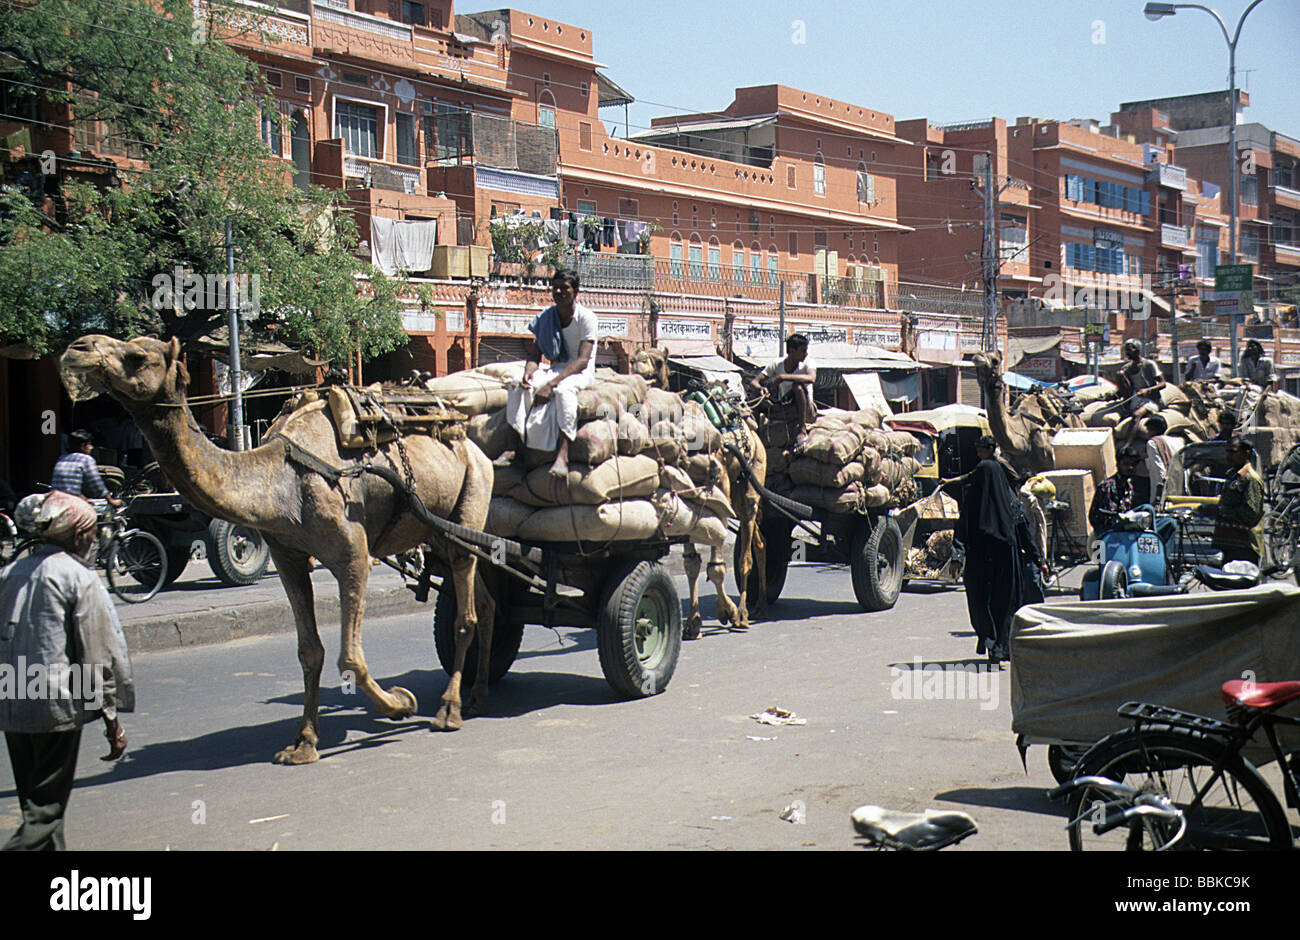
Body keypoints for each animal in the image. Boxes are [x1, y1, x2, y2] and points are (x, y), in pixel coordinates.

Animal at [60, 335, 495, 764]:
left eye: (136, 355)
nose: (76, 348)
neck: (283, 479)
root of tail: (474, 447)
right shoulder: (288, 557)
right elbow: (310, 651)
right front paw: (303, 743)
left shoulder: (353, 555)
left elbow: (349, 656)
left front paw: (399, 704)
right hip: (439, 533)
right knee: (485, 602)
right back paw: (477, 695)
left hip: (472, 500)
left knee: (465, 615)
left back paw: (449, 710)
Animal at [631, 347, 767, 636]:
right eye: (635, 357)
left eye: (657, 361)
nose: (638, 367)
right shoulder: (688, 499)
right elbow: (691, 564)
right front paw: (693, 622)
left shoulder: (720, 485)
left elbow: (716, 567)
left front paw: (727, 611)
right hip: (738, 493)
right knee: (760, 542)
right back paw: (760, 604)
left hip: (751, 482)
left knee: (746, 554)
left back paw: (743, 613)